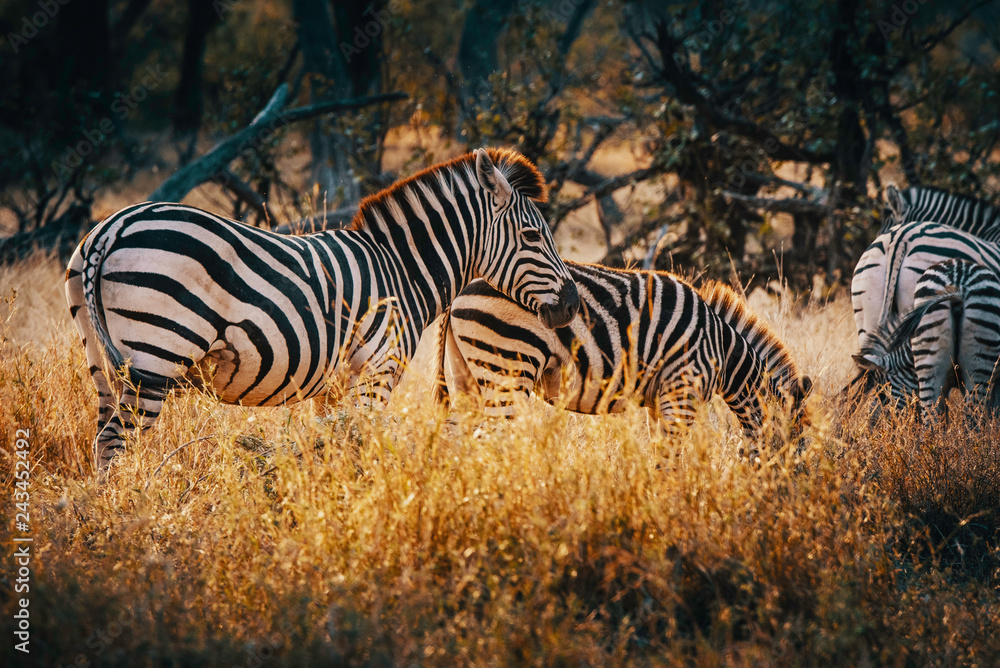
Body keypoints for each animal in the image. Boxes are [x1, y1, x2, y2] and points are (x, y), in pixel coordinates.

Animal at [65, 148, 581, 473]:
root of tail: (109, 229)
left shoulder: (333, 387)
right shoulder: (376, 372)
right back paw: (123, 520)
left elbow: (328, 446)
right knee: (115, 442)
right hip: (156, 356)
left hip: (102, 359)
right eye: (533, 237)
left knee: (100, 436)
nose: (573, 305)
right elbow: (357, 445)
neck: (401, 269)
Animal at [434, 262, 812, 443]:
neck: (721, 350)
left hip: (469, 372)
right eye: (799, 441)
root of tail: (461, 288)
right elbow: (671, 460)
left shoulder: (661, 401)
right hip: (508, 366)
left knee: (458, 435)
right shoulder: (682, 394)